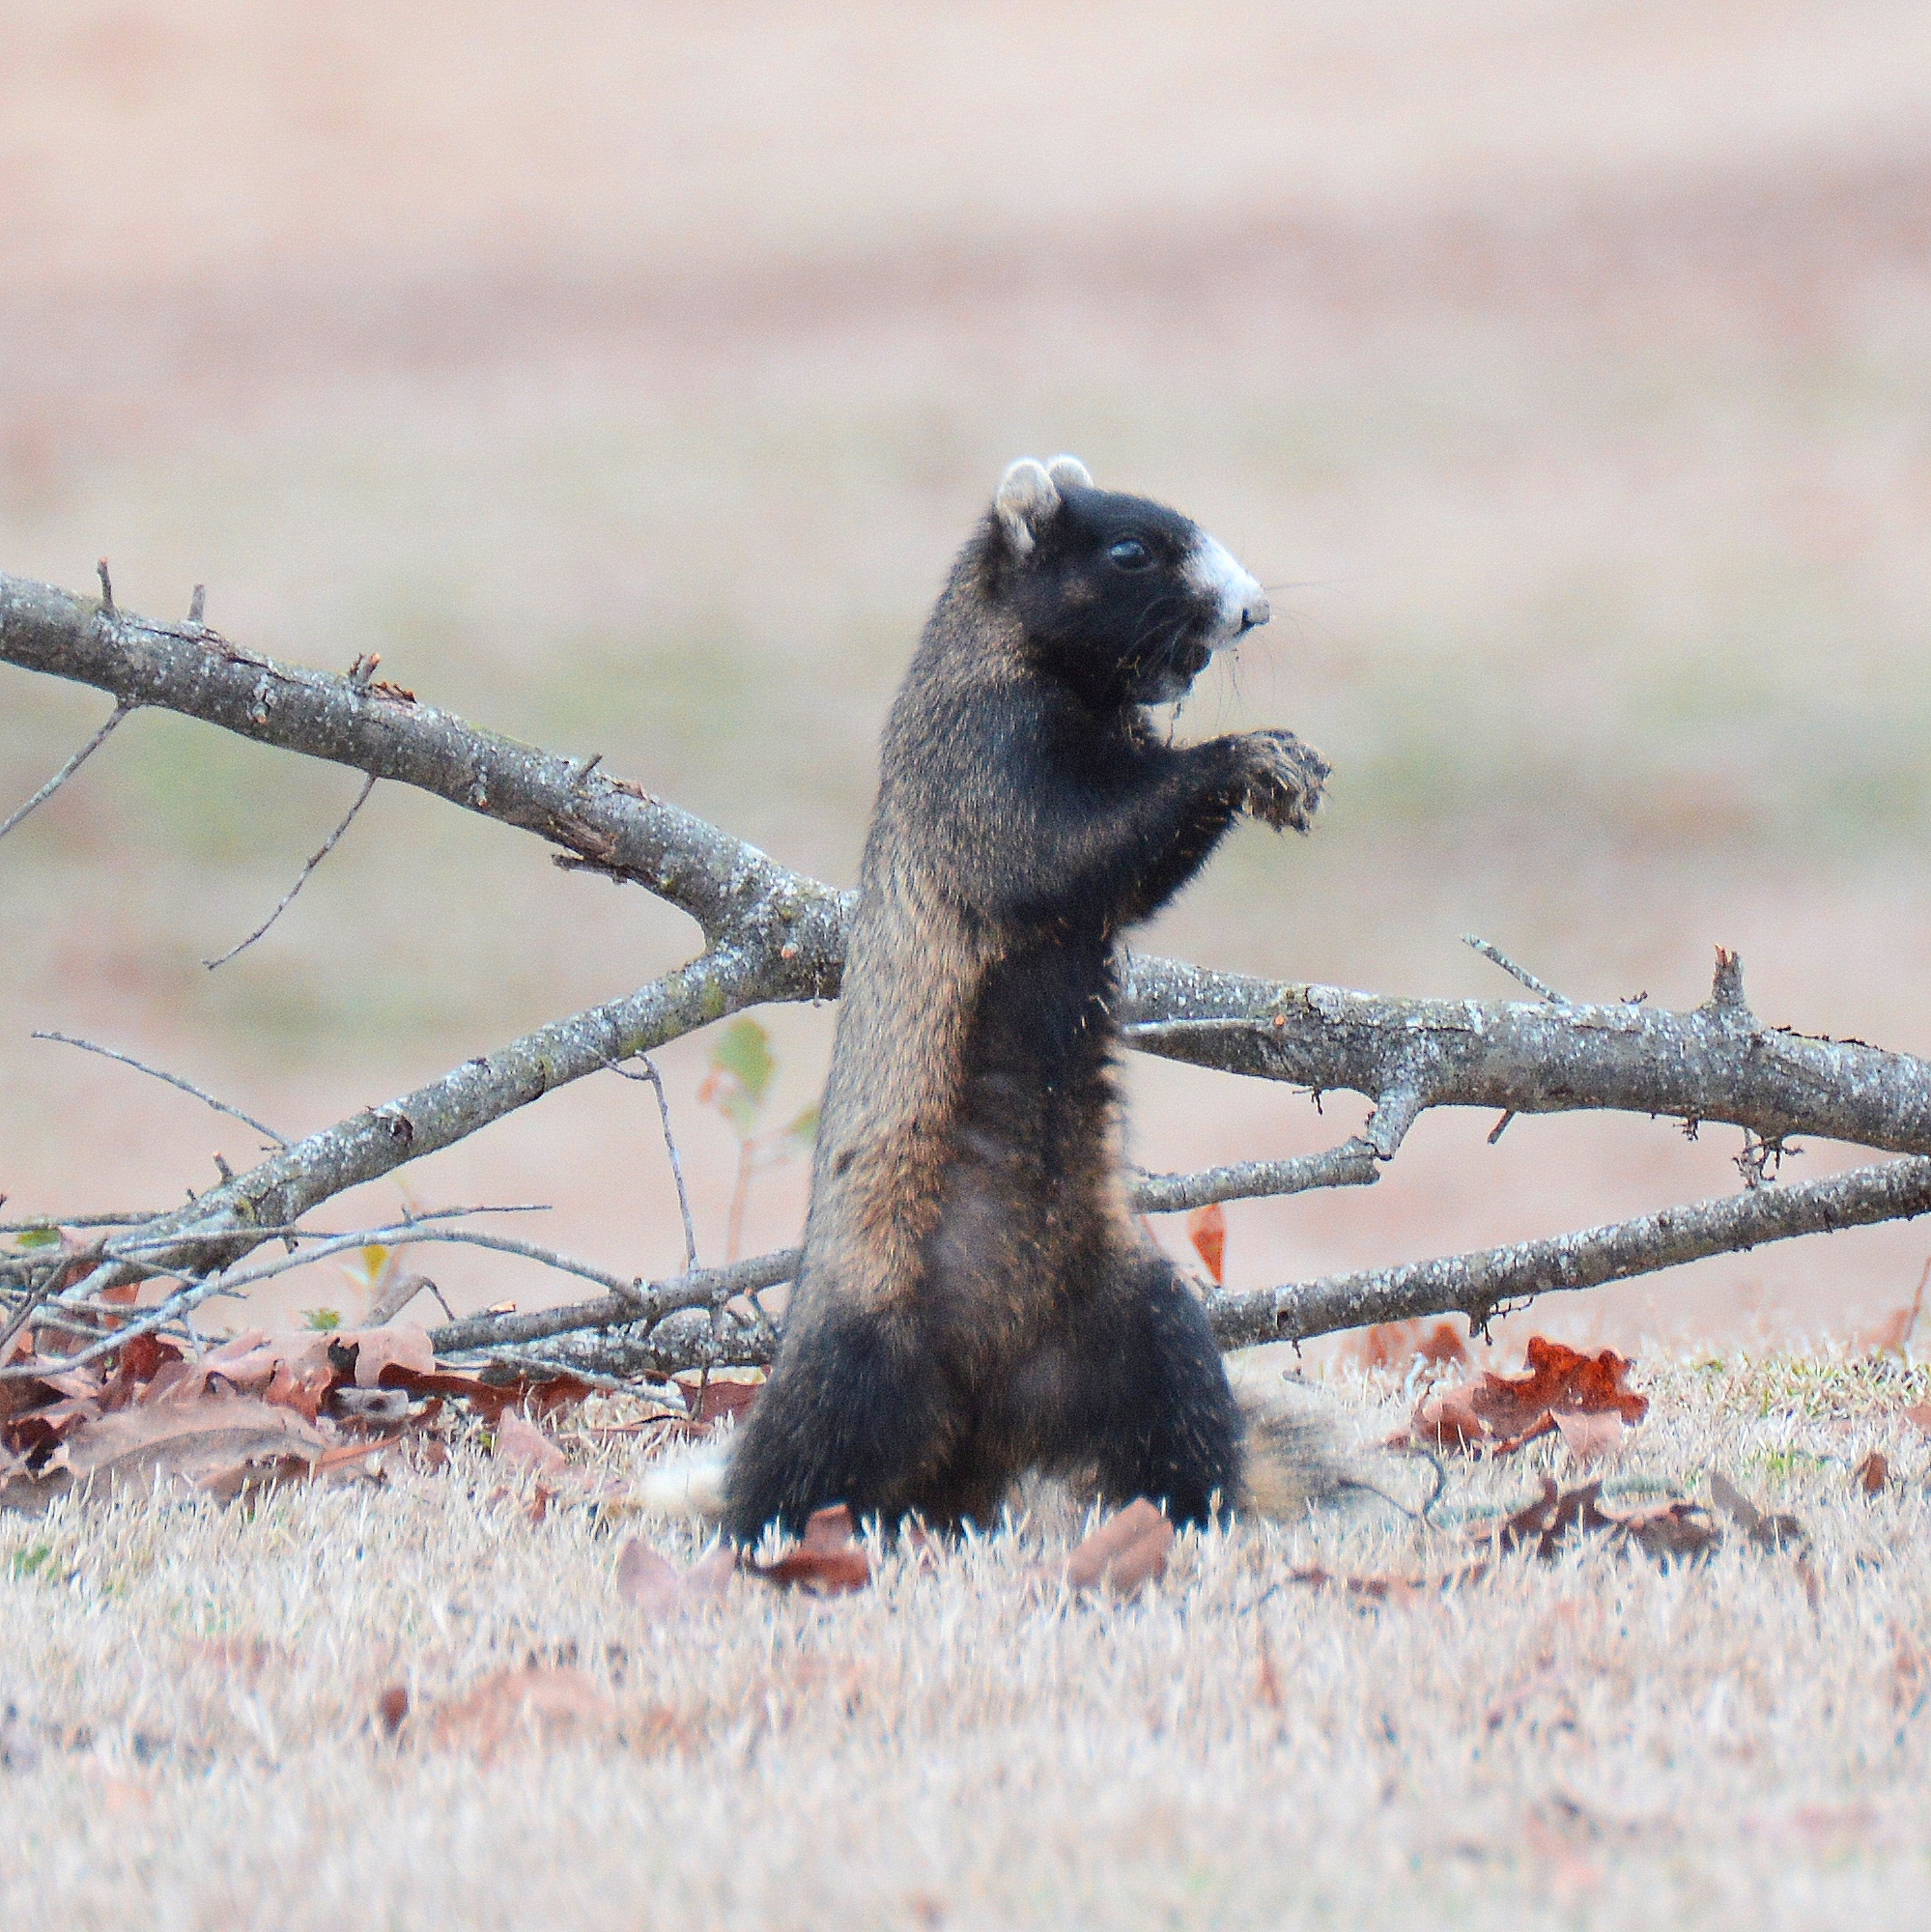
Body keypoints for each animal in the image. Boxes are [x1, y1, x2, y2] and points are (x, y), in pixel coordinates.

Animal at [666, 457, 1332, 1541]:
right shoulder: (984, 770)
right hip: (855, 1357)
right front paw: (1244, 754)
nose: (1254, 606)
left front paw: (1280, 757)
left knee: (1179, 1444)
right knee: (789, 1474)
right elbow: (1066, 850)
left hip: (1157, 1327)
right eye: (1130, 547)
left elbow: (1126, 876)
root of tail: (983, 1438)